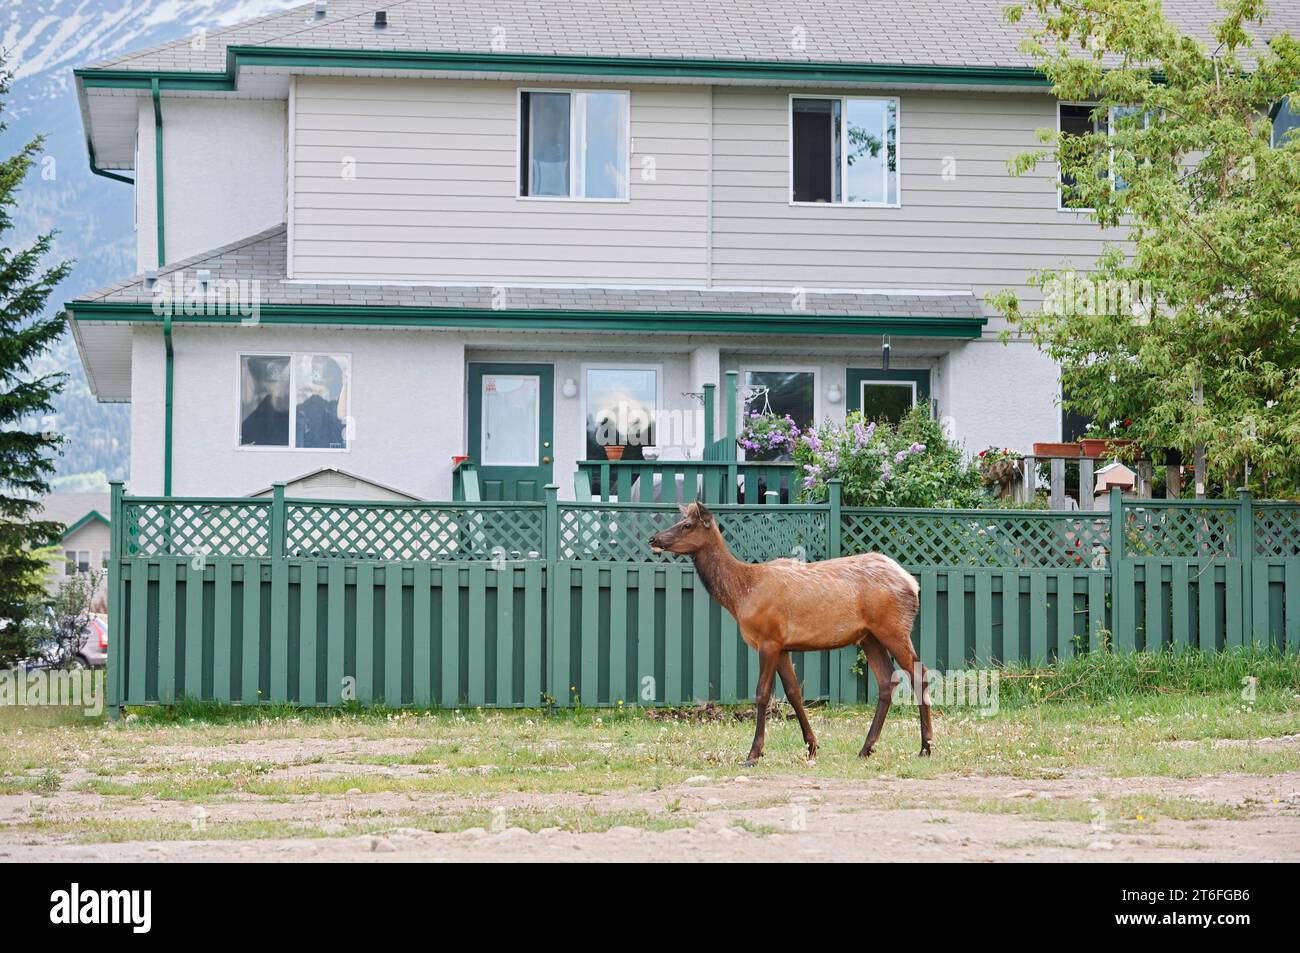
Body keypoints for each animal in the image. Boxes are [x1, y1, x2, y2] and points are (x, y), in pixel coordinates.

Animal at [649, 501, 932, 765]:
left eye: (687, 525)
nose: (654, 538)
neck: (741, 595)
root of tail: (912, 583)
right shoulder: (783, 646)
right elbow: (794, 693)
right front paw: (812, 747)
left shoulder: (769, 639)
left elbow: (762, 693)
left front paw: (754, 753)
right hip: (869, 636)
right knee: (886, 681)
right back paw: (866, 748)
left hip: (894, 628)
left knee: (920, 673)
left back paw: (926, 746)